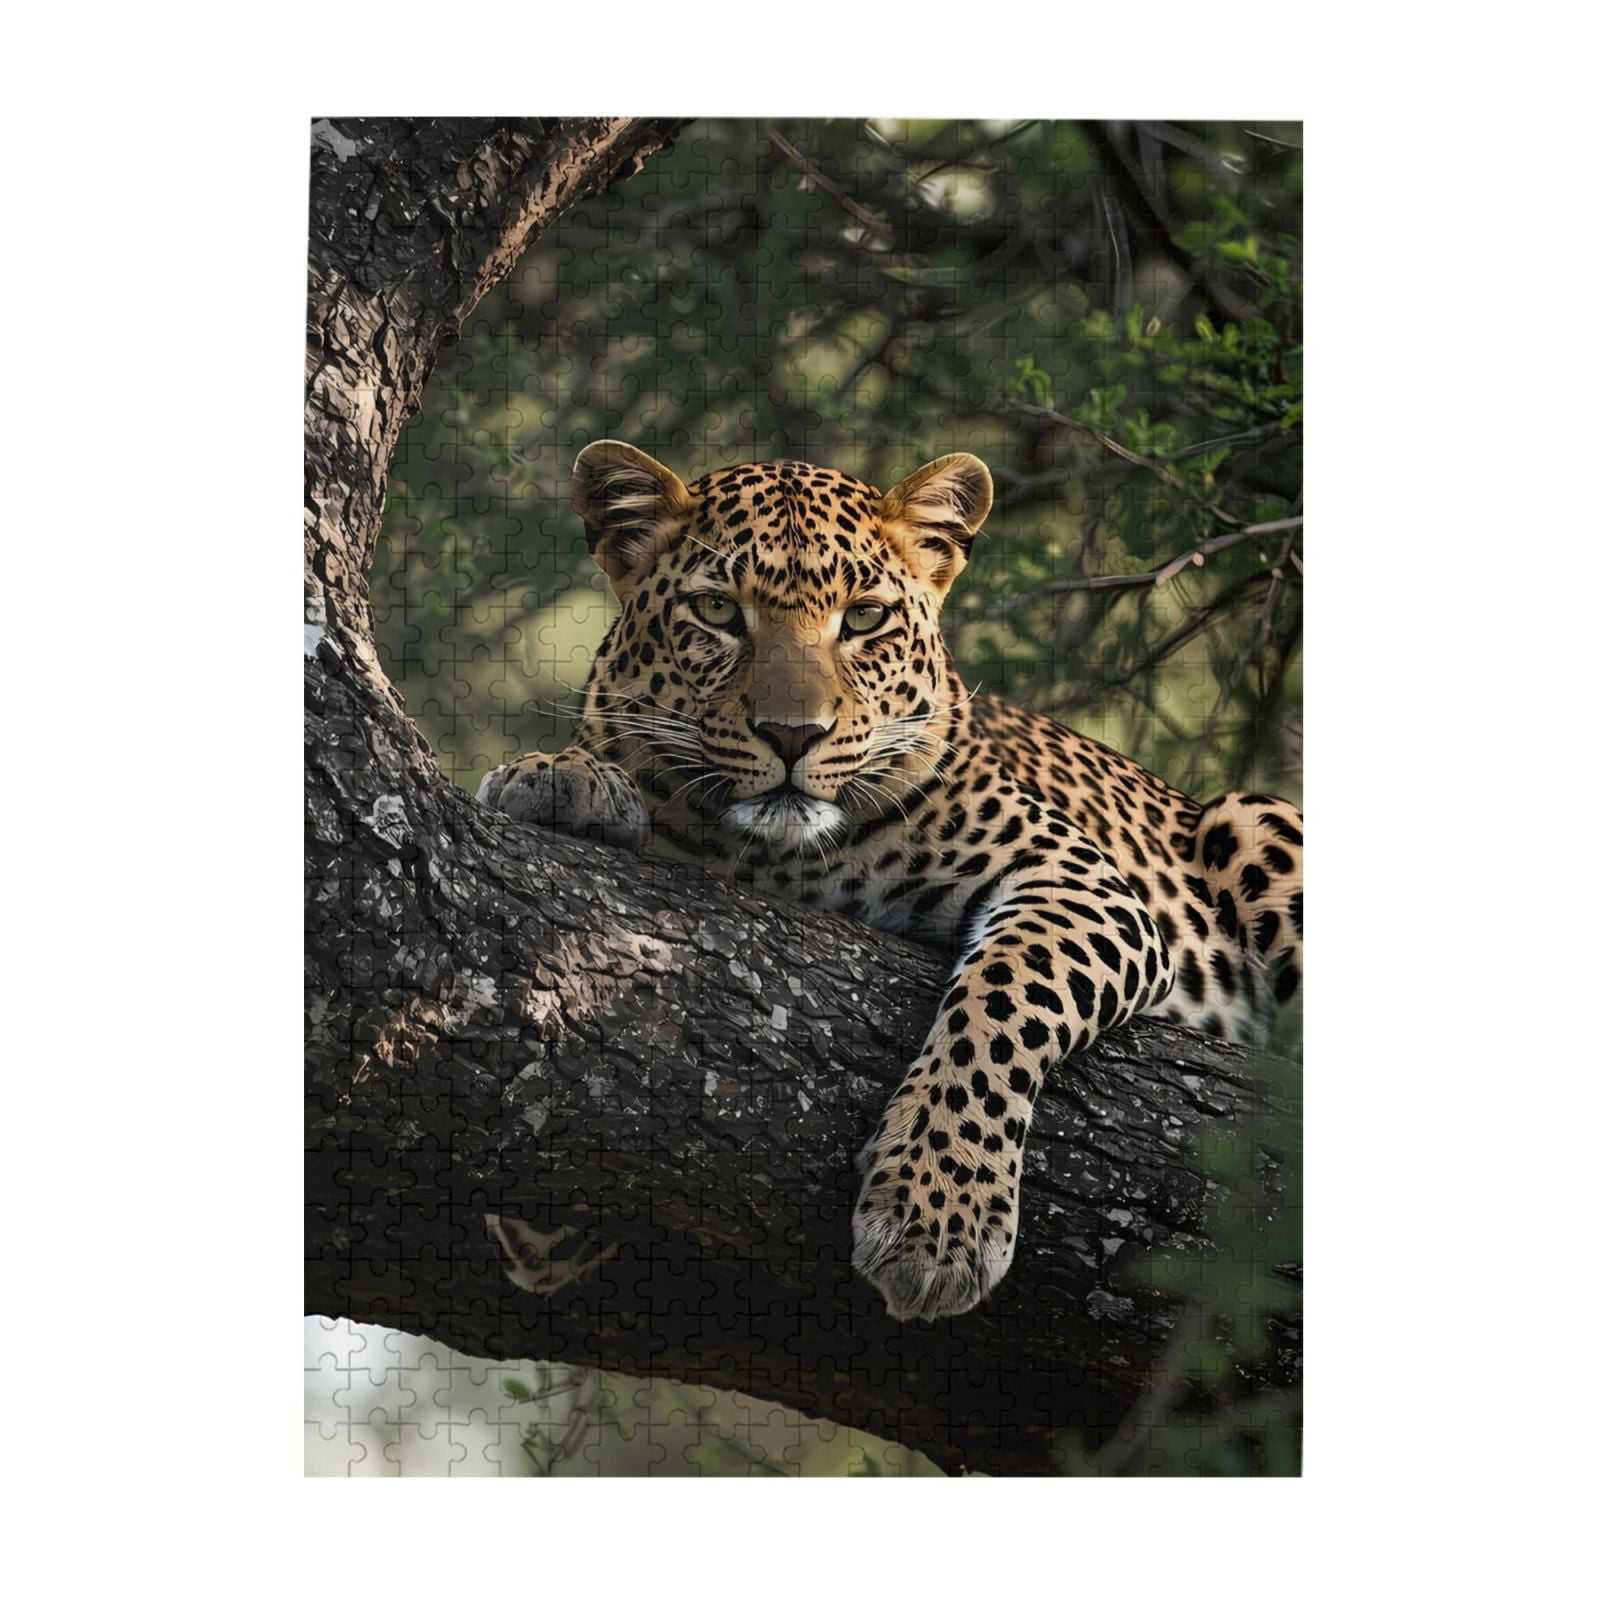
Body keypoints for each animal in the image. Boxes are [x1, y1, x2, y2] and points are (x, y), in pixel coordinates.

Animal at [479, 440, 1304, 1321]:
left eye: (865, 619)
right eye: (718, 613)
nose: (792, 735)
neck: (776, 857)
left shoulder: (1085, 886)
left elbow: (1005, 1003)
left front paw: (939, 1218)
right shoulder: (552, 1219)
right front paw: (565, 781)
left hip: (1252, 819)